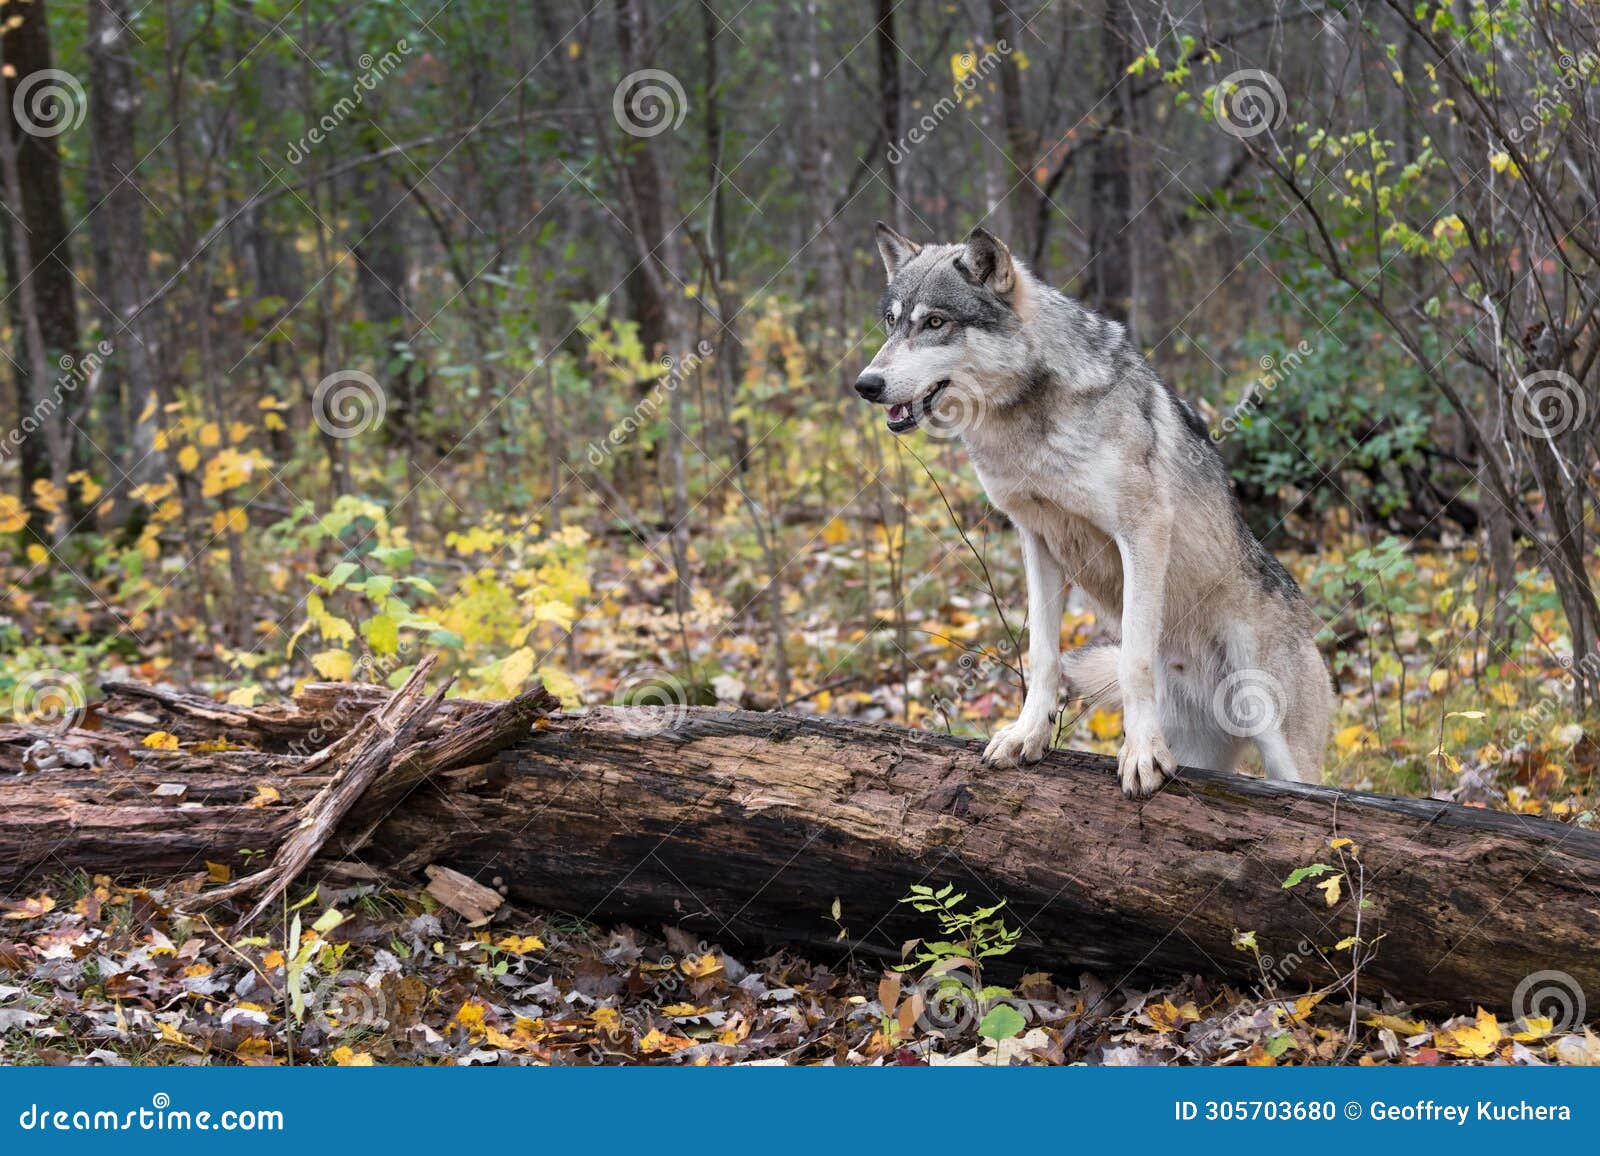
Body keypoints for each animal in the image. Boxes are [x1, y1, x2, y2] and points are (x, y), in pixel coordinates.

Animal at [855, 223, 1332, 797]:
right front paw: (1028, 736)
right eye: (891, 320)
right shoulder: (1036, 541)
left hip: (1280, 742)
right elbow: (1042, 656)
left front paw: (1141, 756)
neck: (1025, 423)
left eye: (934, 322)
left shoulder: (1143, 532)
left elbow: (1134, 661)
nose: (866, 384)